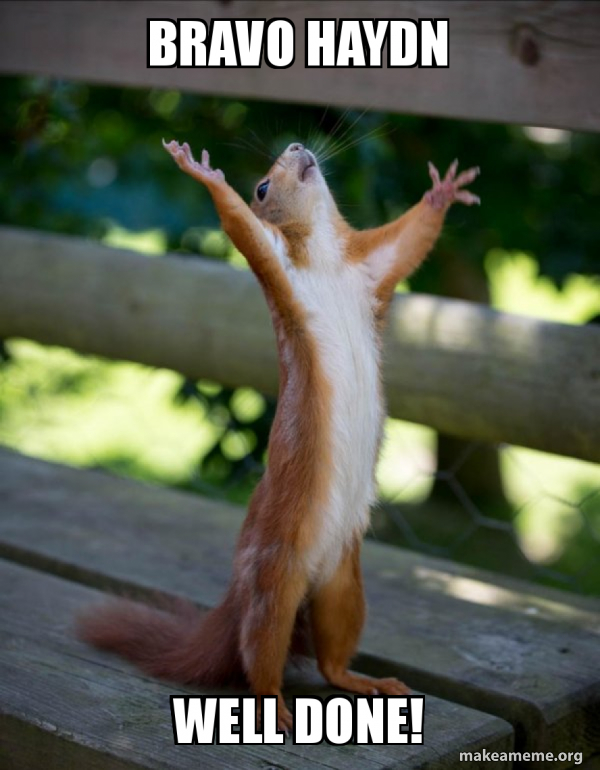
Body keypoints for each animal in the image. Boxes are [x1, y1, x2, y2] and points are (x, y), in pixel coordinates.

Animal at [78, 138, 479, 731]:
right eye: (262, 187)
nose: (296, 147)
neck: (326, 257)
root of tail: (240, 594)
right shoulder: (277, 265)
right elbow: (240, 226)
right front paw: (204, 173)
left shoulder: (372, 267)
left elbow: (409, 240)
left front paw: (443, 192)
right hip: (274, 582)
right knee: (258, 654)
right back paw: (279, 707)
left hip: (344, 586)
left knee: (332, 657)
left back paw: (364, 680)